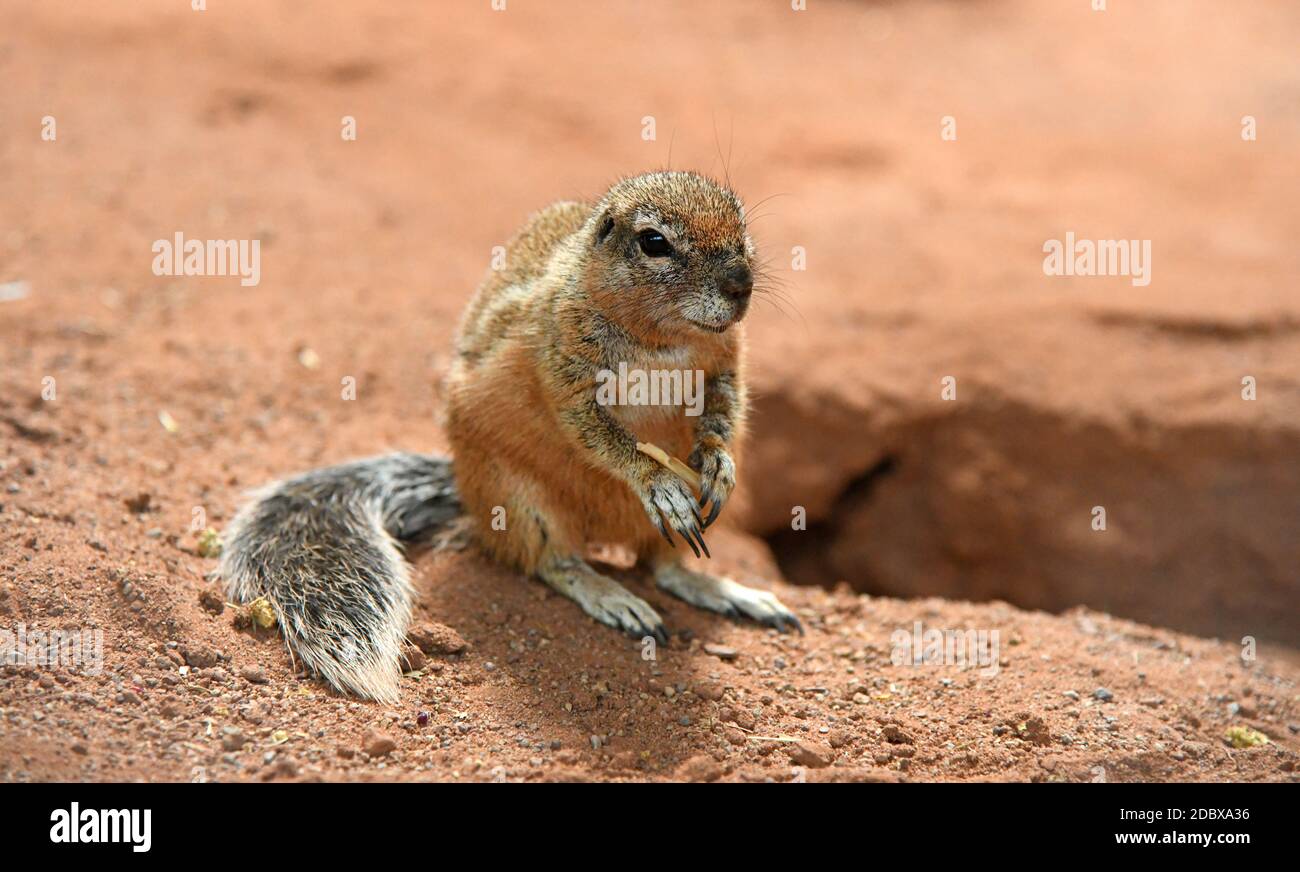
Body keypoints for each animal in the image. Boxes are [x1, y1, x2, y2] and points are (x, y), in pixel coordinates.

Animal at [220, 171, 799, 703]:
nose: (741, 285)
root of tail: (468, 494)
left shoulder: (725, 366)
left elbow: (723, 409)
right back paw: (611, 595)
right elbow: (596, 434)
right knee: (553, 563)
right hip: (522, 503)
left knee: (664, 570)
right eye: (654, 242)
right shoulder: (562, 367)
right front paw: (658, 482)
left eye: (741, 223)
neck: (663, 340)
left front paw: (718, 464)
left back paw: (727, 590)